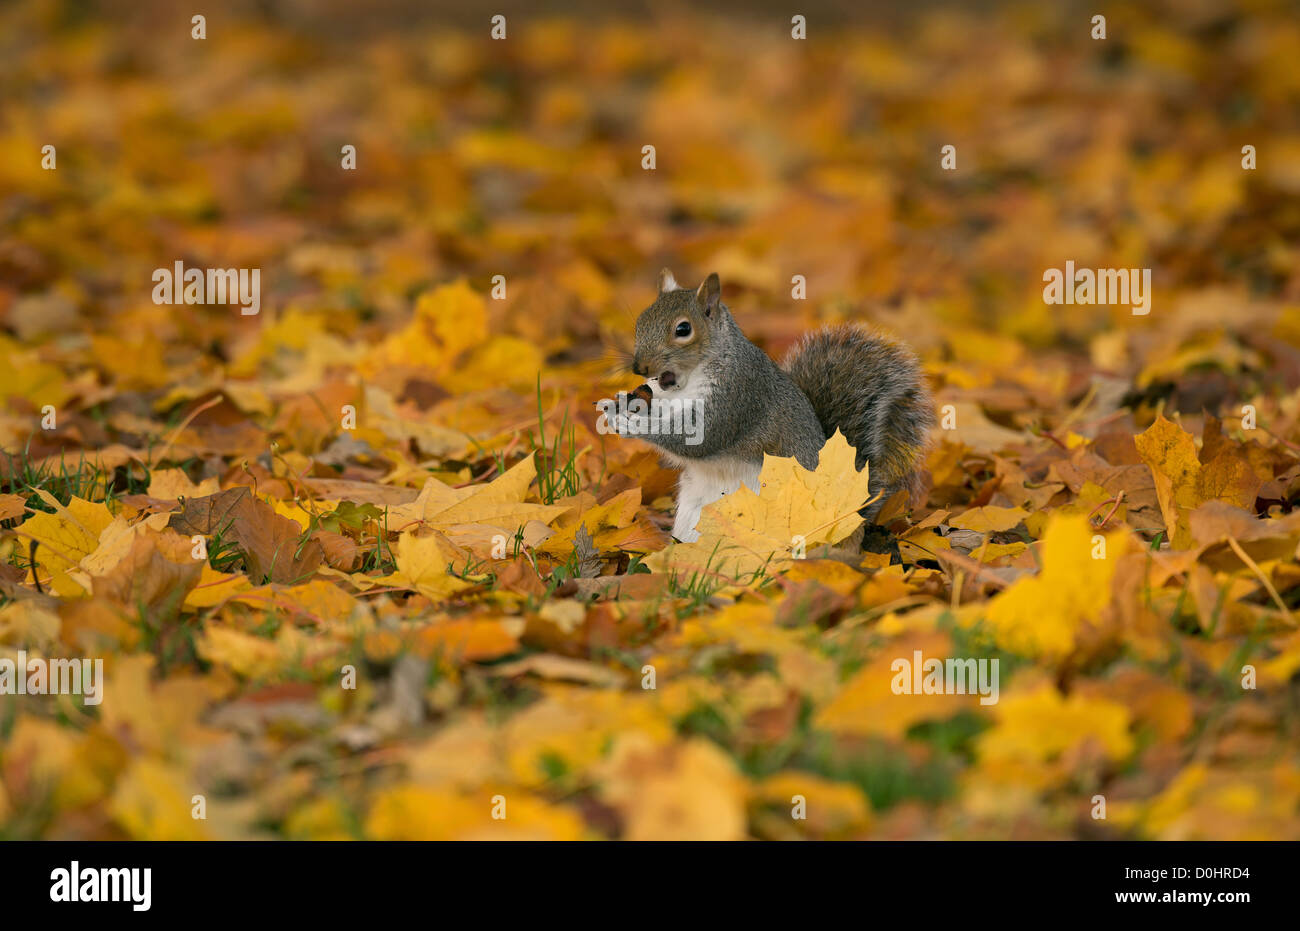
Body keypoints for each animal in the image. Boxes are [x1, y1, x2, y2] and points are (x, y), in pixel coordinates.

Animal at [608, 268, 934, 544]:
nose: (639, 366)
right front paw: (619, 407)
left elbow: (697, 438)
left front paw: (633, 424)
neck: (687, 380)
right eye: (640, 321)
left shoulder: (738, 394)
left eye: (683, 329)